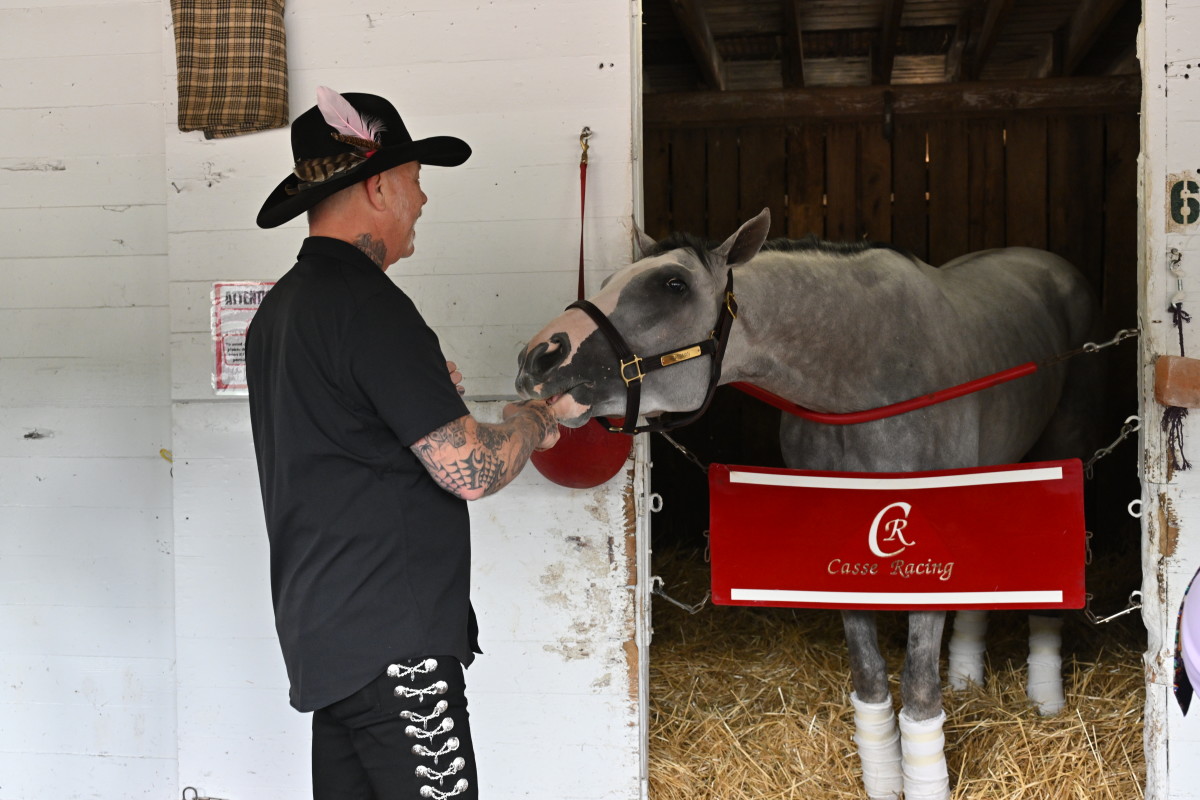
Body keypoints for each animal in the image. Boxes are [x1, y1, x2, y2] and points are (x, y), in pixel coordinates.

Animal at [515, 209, 1098, 800]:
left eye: (673, 284)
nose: (539, 356)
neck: (861, 378)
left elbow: (916, 684)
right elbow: (868, 674)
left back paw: (1045, 694)